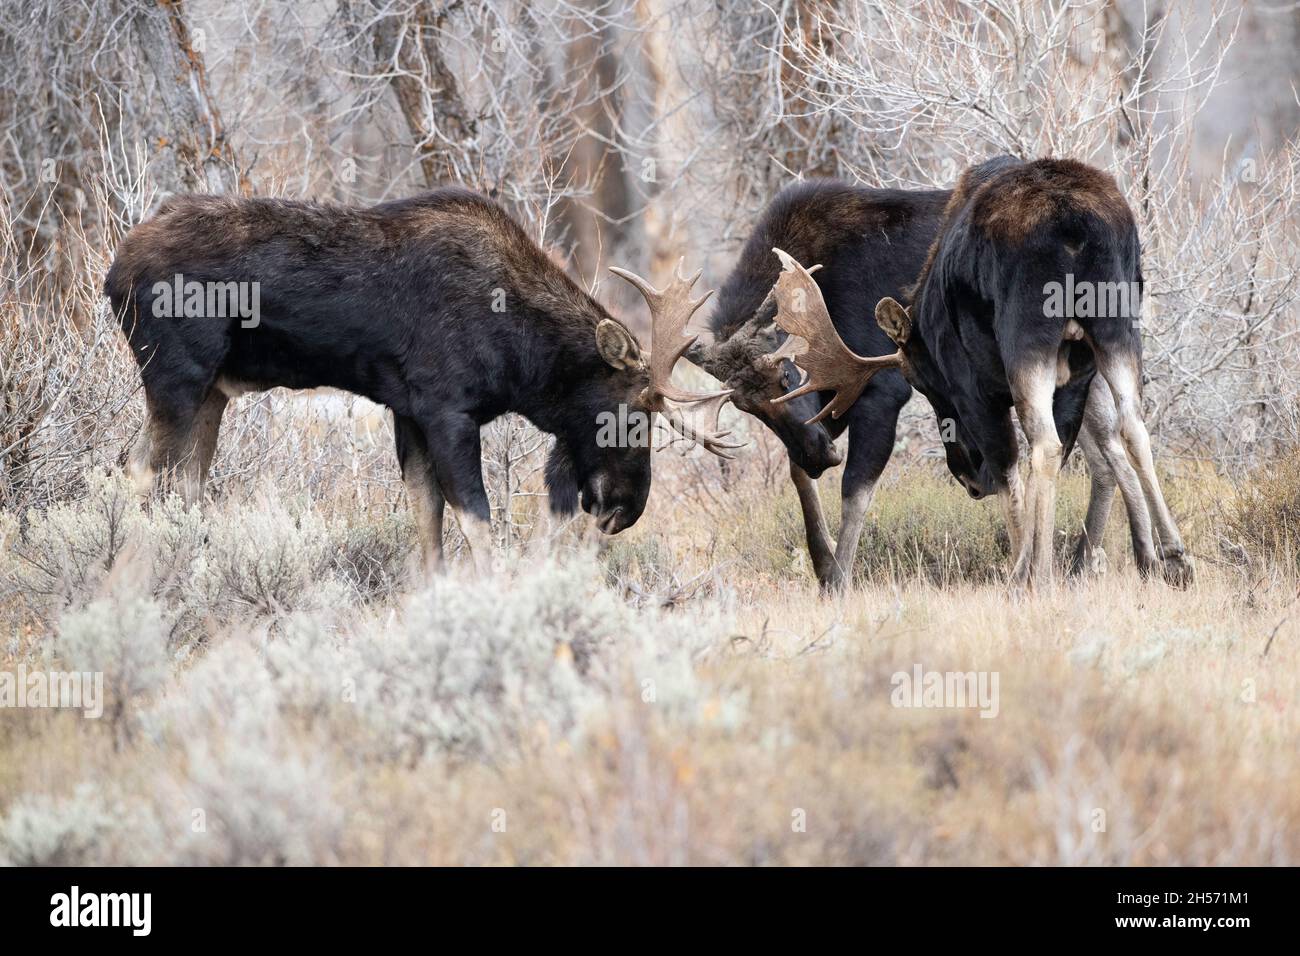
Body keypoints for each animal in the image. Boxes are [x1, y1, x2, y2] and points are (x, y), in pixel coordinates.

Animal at [105, 187, 740, 573]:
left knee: (186, 483)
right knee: (137, 470)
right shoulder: (446, 409)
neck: (523, 358)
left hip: (213, 389)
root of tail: (113, 274)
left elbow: (427, 521)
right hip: (175, 375)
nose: (627, 508)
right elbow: (476, 518)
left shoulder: (406, 411)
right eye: (633, 414)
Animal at [764, 157, 1193, 589]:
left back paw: (1032, 573)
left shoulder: (972, 389)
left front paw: (1025, 567)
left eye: (921, 381)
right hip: (1116, 327)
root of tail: (1074, 223)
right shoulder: (1077, 377)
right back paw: (1173, 557)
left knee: (1044, 446)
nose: (968, 478)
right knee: (1130, 427)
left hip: (1027, 337)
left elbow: (1008, 472)